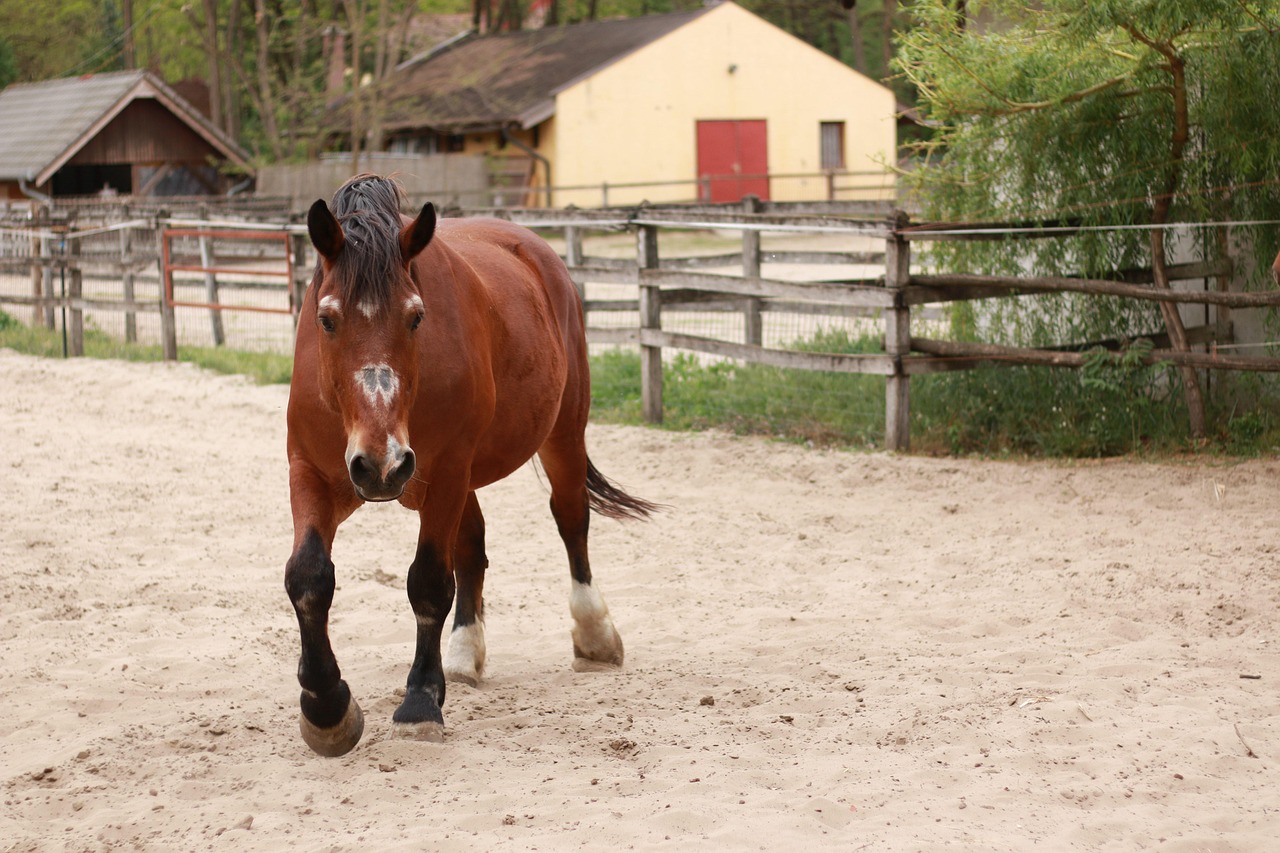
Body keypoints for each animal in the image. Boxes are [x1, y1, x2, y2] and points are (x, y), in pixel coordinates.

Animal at [284, 174, 656, 756]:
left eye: (416, 317)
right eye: (326, 319)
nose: (381, 465)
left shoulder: (445, 473)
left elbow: (428, 582)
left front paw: (417, 704)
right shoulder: (312, 474)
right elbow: (308, 576)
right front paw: (327, 709)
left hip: (560, 435)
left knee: (570, 519)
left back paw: (594, 635)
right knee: (473, 548)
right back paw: (462, 657)